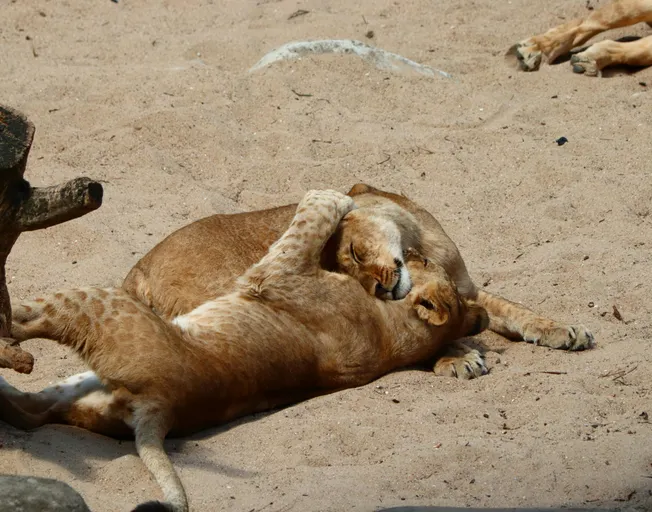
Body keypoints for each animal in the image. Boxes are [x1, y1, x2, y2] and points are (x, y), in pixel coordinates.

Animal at [1, 190, 488, 512]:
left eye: (422, 261)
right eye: (354, 253)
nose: (383, 285)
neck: (392, 334)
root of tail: (164, 408)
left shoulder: (277, 273)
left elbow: (310, 218)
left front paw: (327, 194)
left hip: (101, 305)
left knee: (27, 325)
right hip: (77, 388)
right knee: (26, 410)